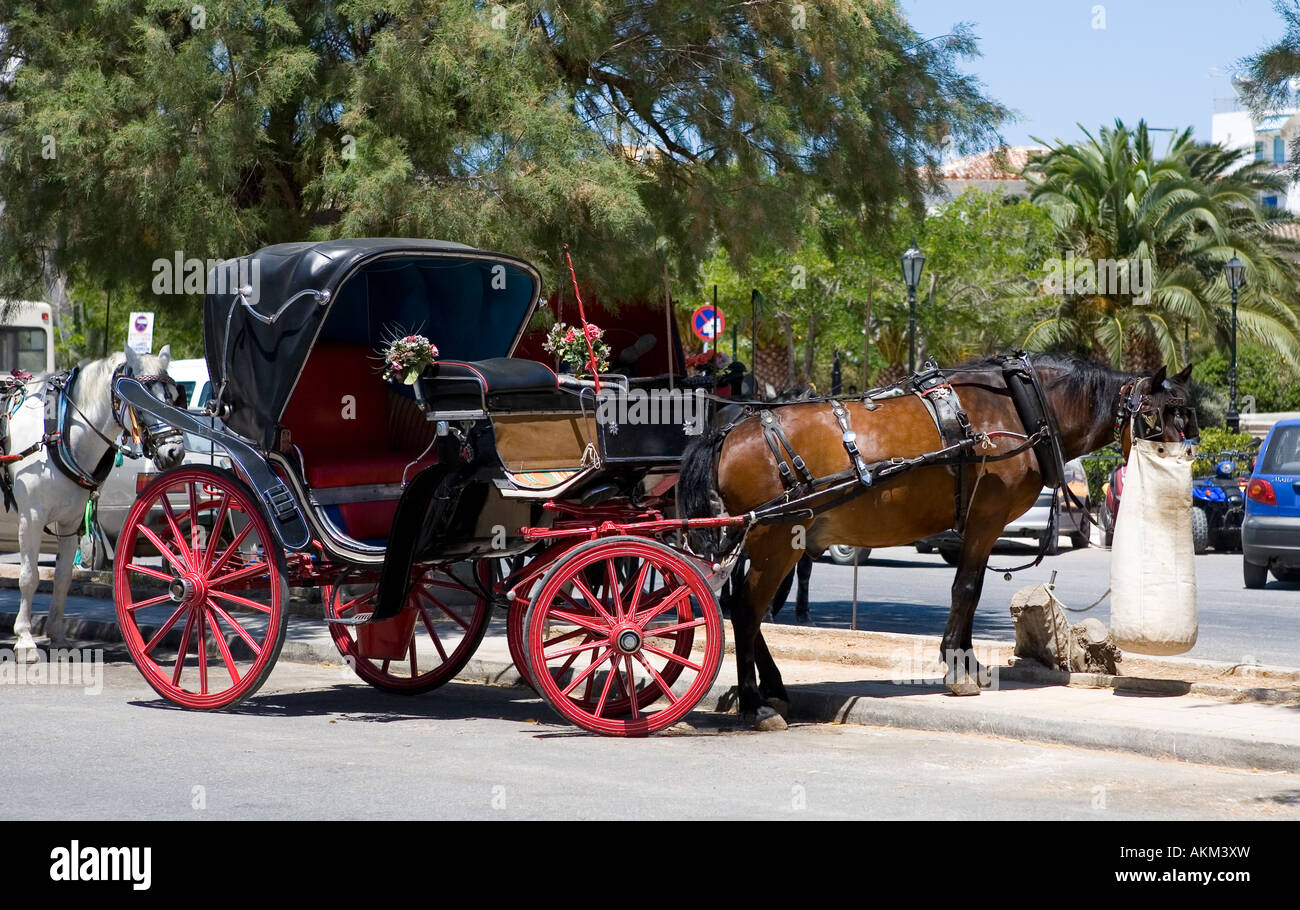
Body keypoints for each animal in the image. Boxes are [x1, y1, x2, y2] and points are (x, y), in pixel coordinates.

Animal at [6, 344, 185, 655]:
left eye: (174, 398)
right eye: (142, 402)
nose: (175, 452)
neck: (58, 430)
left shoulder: (71, 522)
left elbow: (63, 578)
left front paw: (57, 636)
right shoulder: (31, 517)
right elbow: (29, 576)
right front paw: (25, 639)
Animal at [680, 353, 1197, 730]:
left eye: (1187, 417)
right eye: (1153, 416)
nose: (1185, 461)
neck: (1019, 406)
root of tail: (730, 430)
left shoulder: (978, 524)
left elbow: (969, 589)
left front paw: (966, 663)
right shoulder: (986, 519)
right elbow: (965, 590)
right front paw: (957, 668)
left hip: (766, 540)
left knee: (744, 608)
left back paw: (772, 689)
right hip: (775, 539)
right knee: (747, 610)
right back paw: (755, 704)